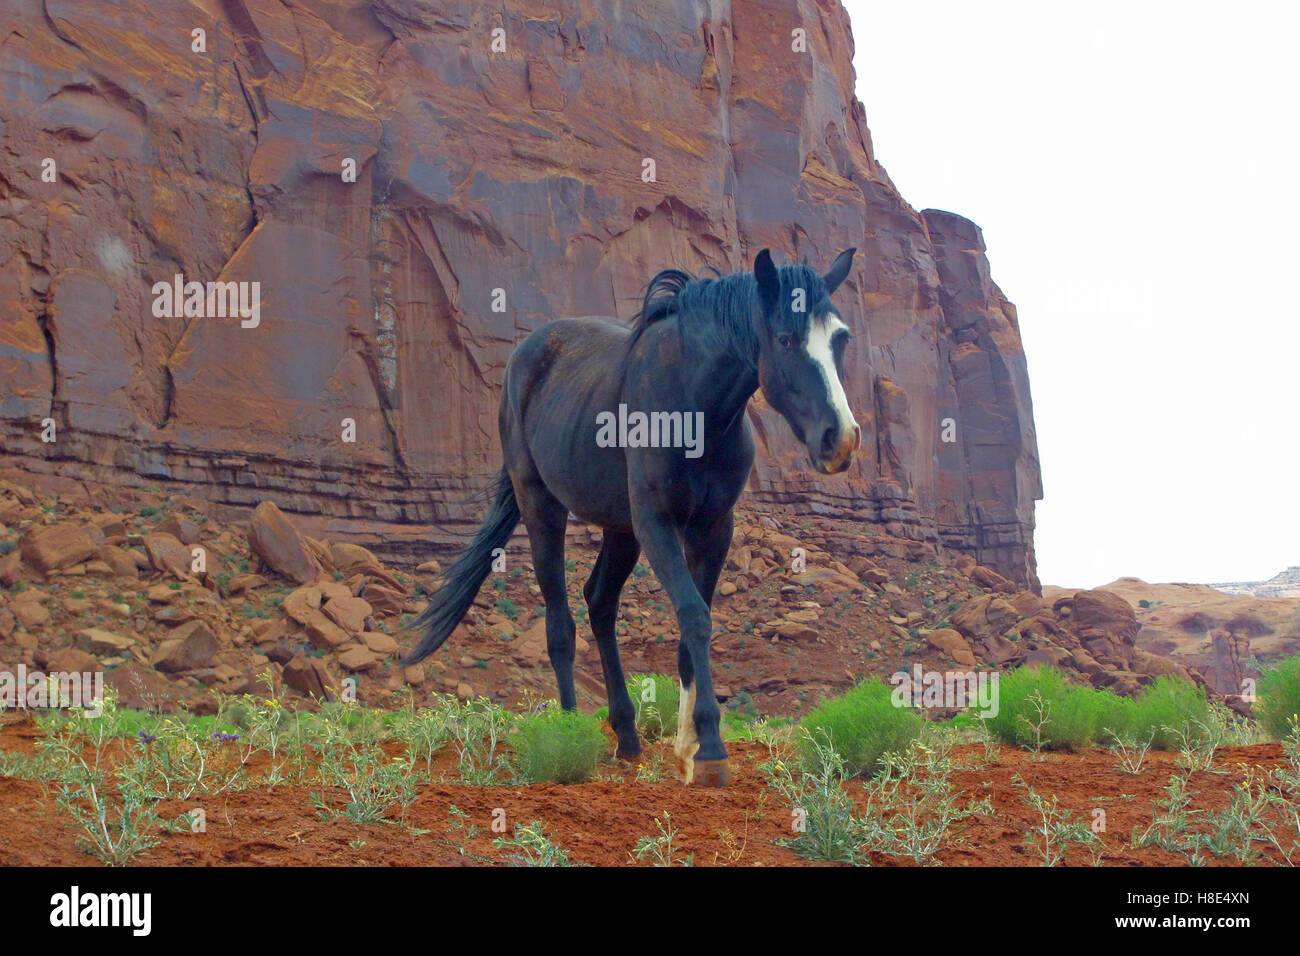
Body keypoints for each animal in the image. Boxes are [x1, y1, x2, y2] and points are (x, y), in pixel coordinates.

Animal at [402, 247, 861, 786]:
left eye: (840, 338)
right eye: (786, 338)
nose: (841, 439)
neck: (692, 404)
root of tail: (525, 355)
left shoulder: (714, 529)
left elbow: (691, 628)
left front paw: (688, 748)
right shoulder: (656, 523)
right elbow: (694, 616)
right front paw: (709, 747)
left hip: (619, 530)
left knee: (599, 603)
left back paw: (626, 735)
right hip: (543, 507)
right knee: (560, 626)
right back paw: (569, 733)